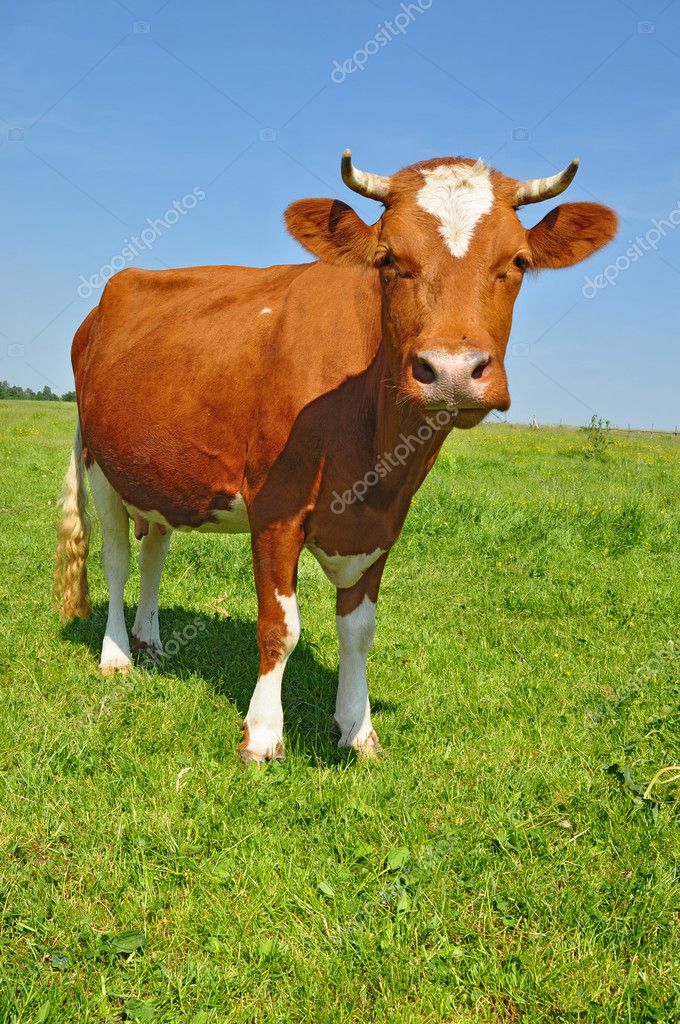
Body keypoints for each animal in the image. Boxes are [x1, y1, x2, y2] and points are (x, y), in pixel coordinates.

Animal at [55, 150, 617, 763]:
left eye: (516, 260)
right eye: (389, 259)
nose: (451, 371)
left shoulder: (384, 519)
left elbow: (359, 630)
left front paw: (357, 727)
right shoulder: (275, 508)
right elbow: (280, 626)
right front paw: (262, 734)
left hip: (163, 473)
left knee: (154, 548)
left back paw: (150, 641)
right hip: (102, 465)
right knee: (115, 559)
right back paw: (116, 655)